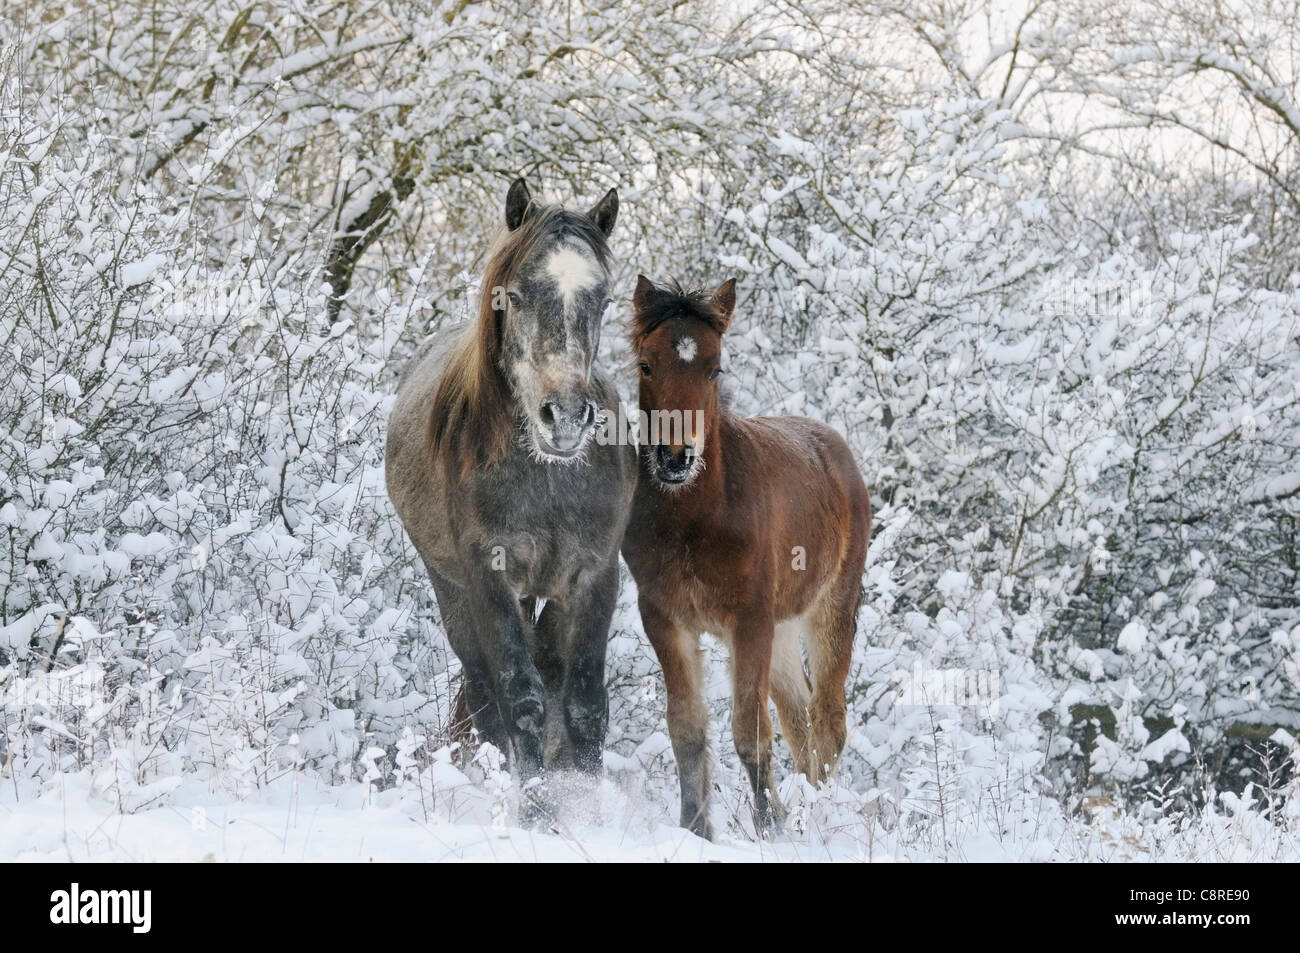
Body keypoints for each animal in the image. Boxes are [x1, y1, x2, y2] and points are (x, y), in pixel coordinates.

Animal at [385, 179, 636, 800]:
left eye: (602, 300)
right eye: (516, 296)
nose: (565, 417)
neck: (547, 478)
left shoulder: (595, 575)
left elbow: (585, 704)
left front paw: (587, 808)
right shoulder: (488, 576)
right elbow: (520, 698)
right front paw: (534, 807)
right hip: (453, 588)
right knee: (483, 691)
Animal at [620, 275, 872, 839]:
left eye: (715, 368)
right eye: (646, 364)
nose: (675, 458)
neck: (694, 518)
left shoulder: (748, 622)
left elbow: (749, 731)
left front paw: (769, 829)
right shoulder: (665, 619)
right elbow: (688, 731)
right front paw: (695, 830)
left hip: (829, 610)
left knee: (827, 719)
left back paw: (821, 816)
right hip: (781, 628)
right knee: (799, 719)